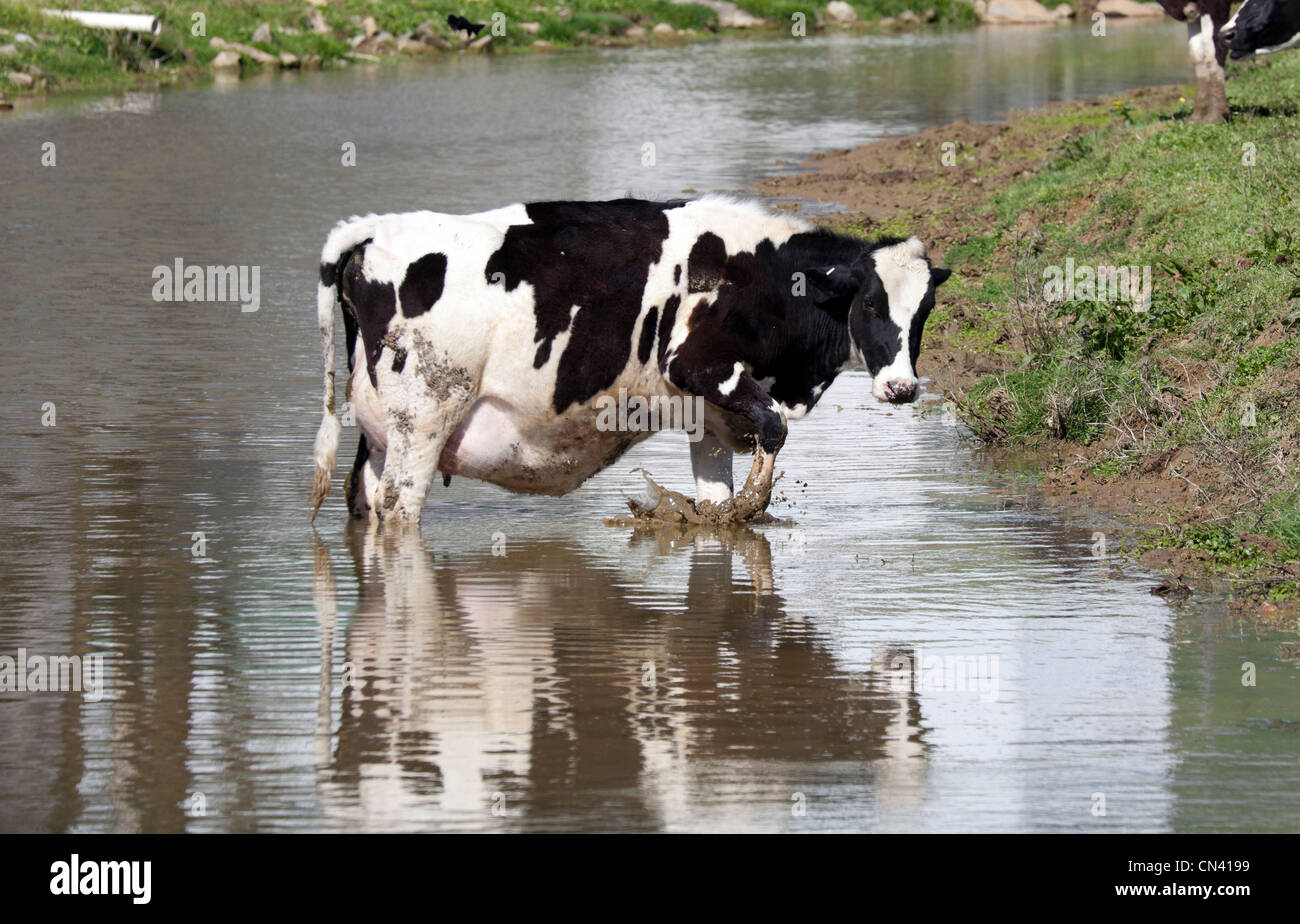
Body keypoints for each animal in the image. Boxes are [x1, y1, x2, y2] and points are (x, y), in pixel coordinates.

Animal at [310, 197, 950, 526]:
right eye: (870, 303)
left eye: (924, 311)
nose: (902, 388)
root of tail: (375, 230)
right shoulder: (695, 365)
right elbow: (774, 427)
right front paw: (755, 501)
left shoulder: (710, 417)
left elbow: (716, 499)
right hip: (426, 414)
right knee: (398, 507)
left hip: (380, 430)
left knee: (364, 502)